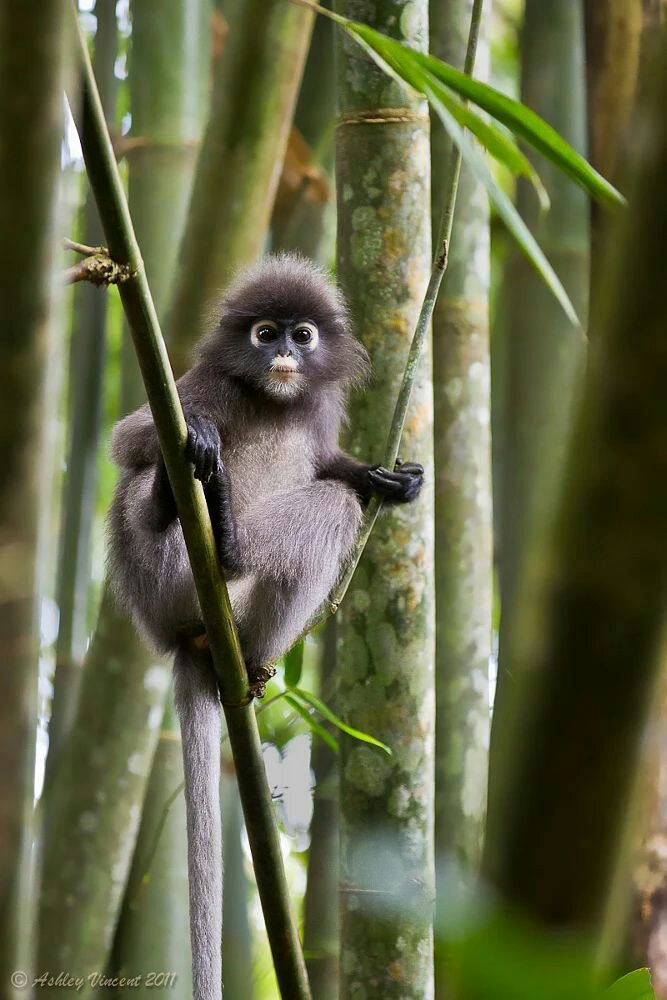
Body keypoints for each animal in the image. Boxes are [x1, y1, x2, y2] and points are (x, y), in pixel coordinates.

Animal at [107, 253, 424, 1000]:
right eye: (263, 332)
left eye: (302, 334)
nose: (284, 354)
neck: (276, 401)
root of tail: (182, 637)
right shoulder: (199, 389)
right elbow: (129, 442)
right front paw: (191, 449)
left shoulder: (316, 412)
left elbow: (330, 463)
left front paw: (386, 478)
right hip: (162, 581)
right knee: (151, 482)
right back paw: (209, 524)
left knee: (326, 511)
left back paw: (250, 654)